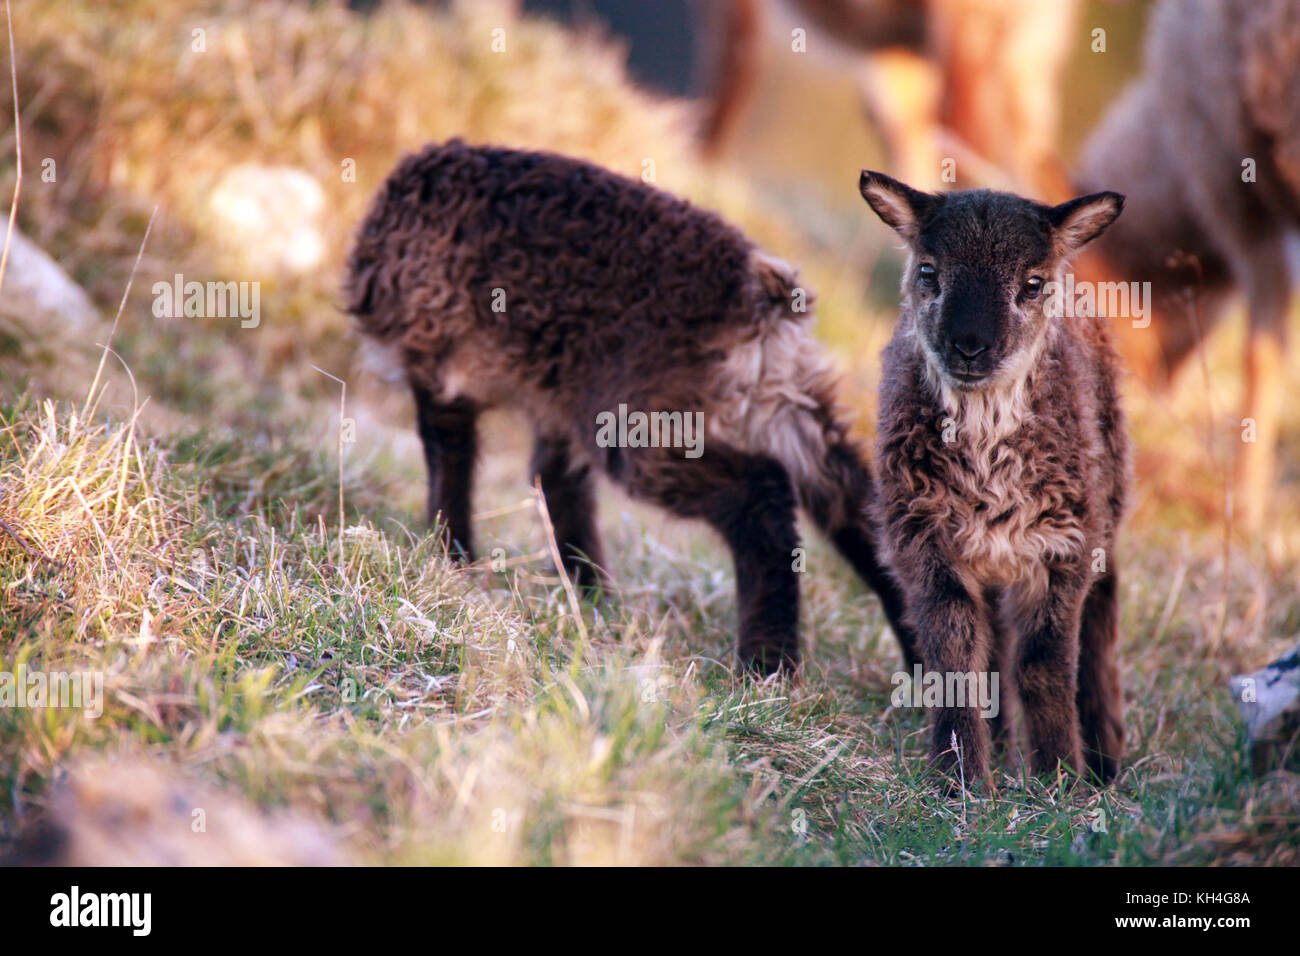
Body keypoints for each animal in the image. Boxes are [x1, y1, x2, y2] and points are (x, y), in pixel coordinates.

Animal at [345, 139, 916, 675]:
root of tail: (762, 288)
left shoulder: (442, 374)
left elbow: (453, 464)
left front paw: (451, 559)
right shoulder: (557, 404)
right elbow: (558, 488)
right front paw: (591, 598)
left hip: (644, 426)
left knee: (764, 497)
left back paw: (766, 667)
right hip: (792, 401)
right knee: (862, 507)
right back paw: (917, 667)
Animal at [860, 170, 1129, 786]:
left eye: (1032, 284)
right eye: (928, 271)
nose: (969, 345)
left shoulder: (1064, 544)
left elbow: (1045, 664)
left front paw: (1060, 780)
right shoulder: (923, 537)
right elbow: (957, 655)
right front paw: (958, 780)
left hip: (1109, 494)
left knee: (1101, 616)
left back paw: (1105, 759)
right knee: (994, 641)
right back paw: (1003, 744)